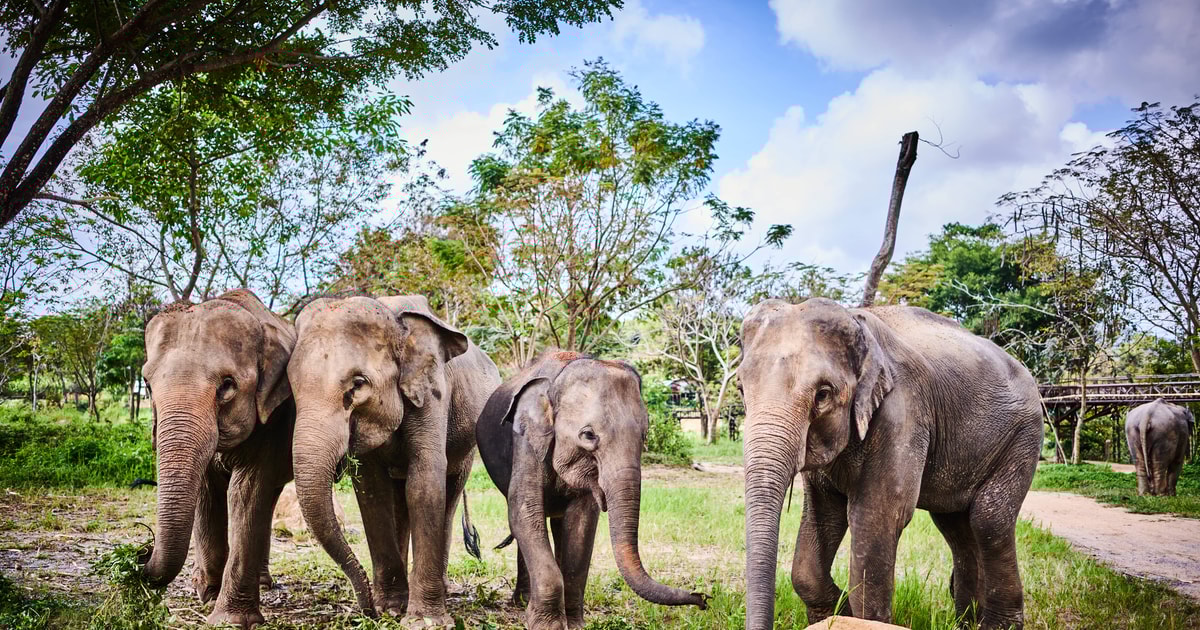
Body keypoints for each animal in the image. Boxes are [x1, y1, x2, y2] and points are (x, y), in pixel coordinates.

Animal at [139, 289, 296, 628]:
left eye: (227, 385)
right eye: (147, 384)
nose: (141, 552)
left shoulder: (273, 419)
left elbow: (245, 493)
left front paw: (230, 619)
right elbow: (207, 492)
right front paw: (207, 594)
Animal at [287, 294, 500, 624]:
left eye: (358, 384)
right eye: (291, 386)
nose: (367, 611)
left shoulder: (433, 393)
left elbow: (425, 484)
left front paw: (424, 622)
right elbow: (373, 493)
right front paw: (390, 609)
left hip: (468, 444)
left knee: (449, 496)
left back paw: (442, 589)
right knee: (400, 501)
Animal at [475, 351, 707, 629]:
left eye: (644, 435)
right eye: (588, 435)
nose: (703, 599)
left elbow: (582, 523)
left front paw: (573, 624)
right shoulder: (525, 443)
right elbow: (525, 512)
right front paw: (547, 625)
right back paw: (521, 602)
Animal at [737, 298, 1044, 630]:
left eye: (823, 394)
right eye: (740, 388)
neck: (857, 324)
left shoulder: (903, 413)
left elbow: (877, 517)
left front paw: (857, 617)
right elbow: (823, 517)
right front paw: (837, 612)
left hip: (1023, 435)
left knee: (989, 520)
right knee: (955, 526)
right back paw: (966, 622)